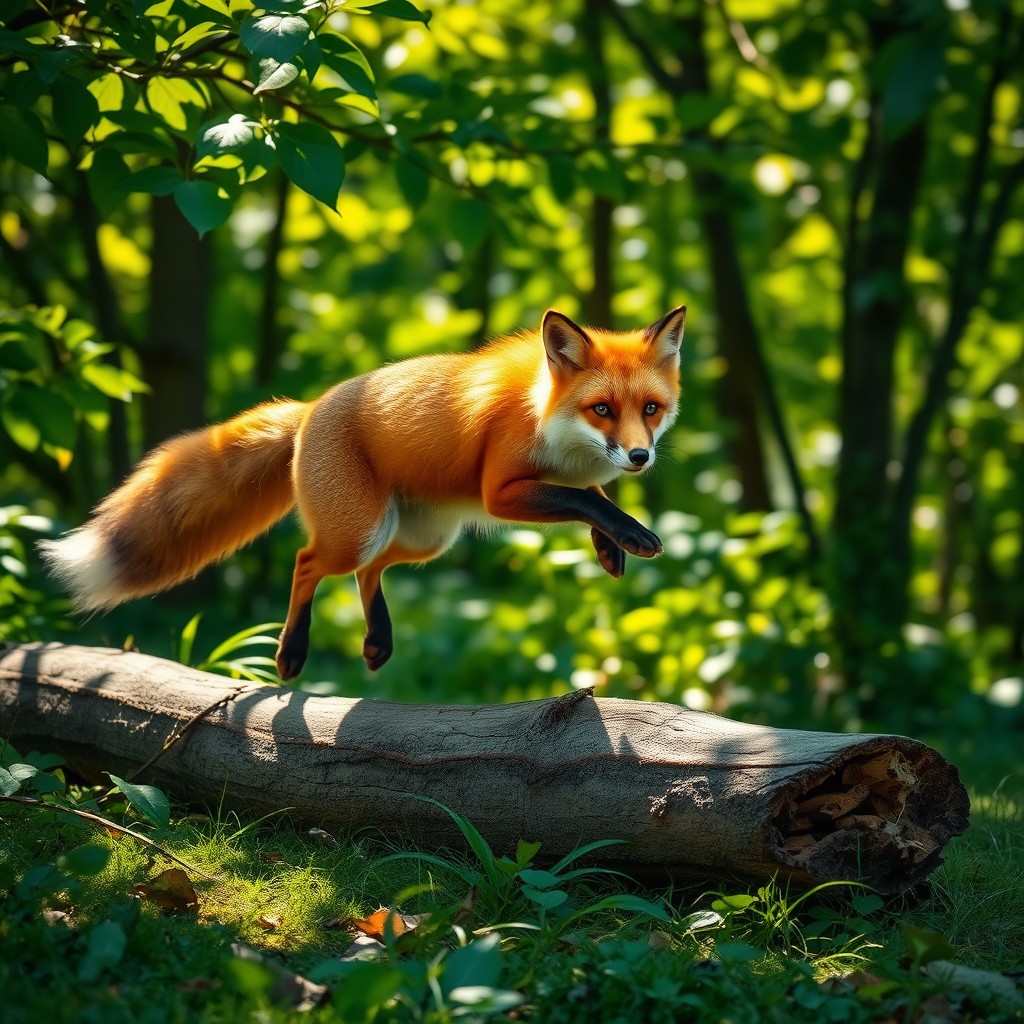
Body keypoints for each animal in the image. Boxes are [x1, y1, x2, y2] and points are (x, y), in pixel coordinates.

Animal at [40, 305, 686, 680]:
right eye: (602, 409)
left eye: (651, 410)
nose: (640, 457)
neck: (546, 416)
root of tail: (308, 409)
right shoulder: (500, 492)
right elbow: (588, 499)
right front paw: (631, 535)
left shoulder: (569, 477)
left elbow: (595, 495)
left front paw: (611, 546)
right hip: (360, 531)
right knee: (308, 563)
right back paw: (292, 652)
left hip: (425, 539)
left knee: (368, 571)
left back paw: (377, 641)